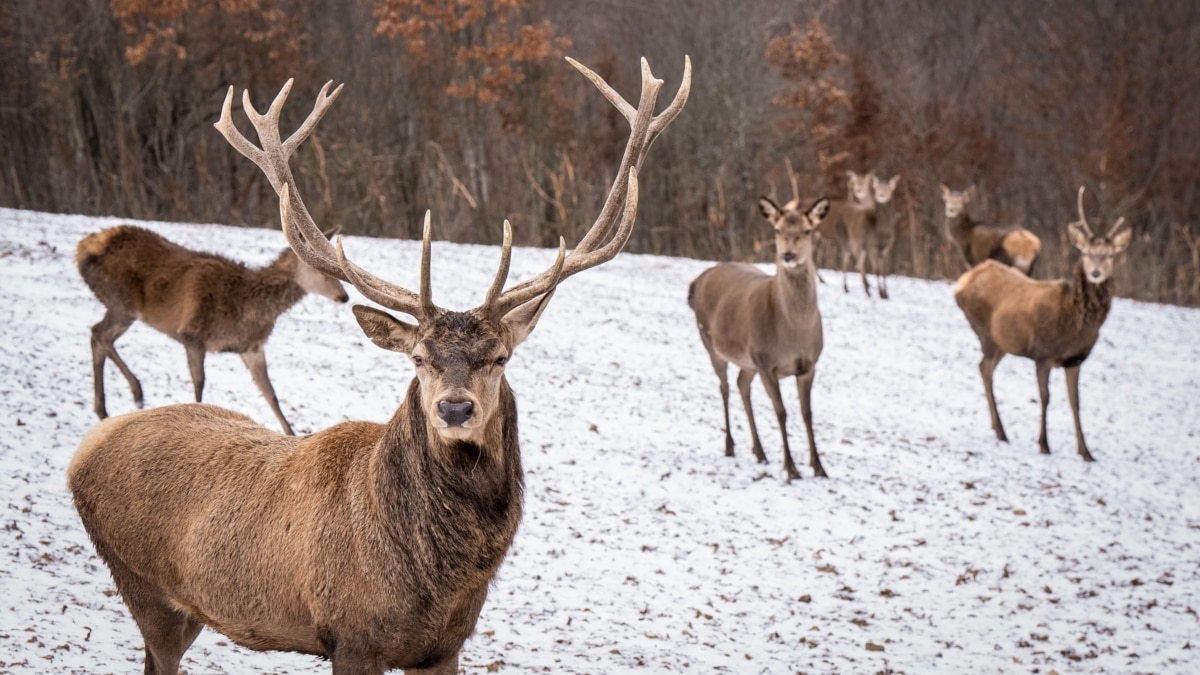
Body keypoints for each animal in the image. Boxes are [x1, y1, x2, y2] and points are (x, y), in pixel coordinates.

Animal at [76, 224, 348, 435]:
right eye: (317, 269)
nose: (344, 297)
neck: (247, 310)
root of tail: (81, 249)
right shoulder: (192, 335)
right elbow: (199, 384)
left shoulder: (252, 348)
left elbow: (271, 394)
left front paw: (291, 434)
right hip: (121, 303)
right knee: (99, 334)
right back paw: (134, 393)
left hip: (122, 308)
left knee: (99, 336)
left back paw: (106, 408)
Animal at [689, 195, 832, 481]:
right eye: (776, 229)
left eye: (807, 230)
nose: (788, 255)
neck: (793, 333)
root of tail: (697, 280)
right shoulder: (767, 364)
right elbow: (781, 412)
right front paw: (791, 468)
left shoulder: (809, 365)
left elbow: (807, 413)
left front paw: (819, 467)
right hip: (712, 343)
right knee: (725, 387)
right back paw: (730, 446)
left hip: (748, 360)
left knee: (742, 384)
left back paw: (759, 451)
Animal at [953, 186, 1130, 461]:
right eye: (1086, 253)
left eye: (1110, 255)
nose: (1096, 273)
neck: (1074, 325)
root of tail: (963, 282)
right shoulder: (1043, 355)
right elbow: (1045, 397)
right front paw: (1044, 444)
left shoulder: (1075, 360)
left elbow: (1075, 402)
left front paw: (1086, 452)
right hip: (987, 335)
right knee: (984, 367)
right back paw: (1001, 431)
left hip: (1004, 343)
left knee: (985, 368)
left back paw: (998, 429)